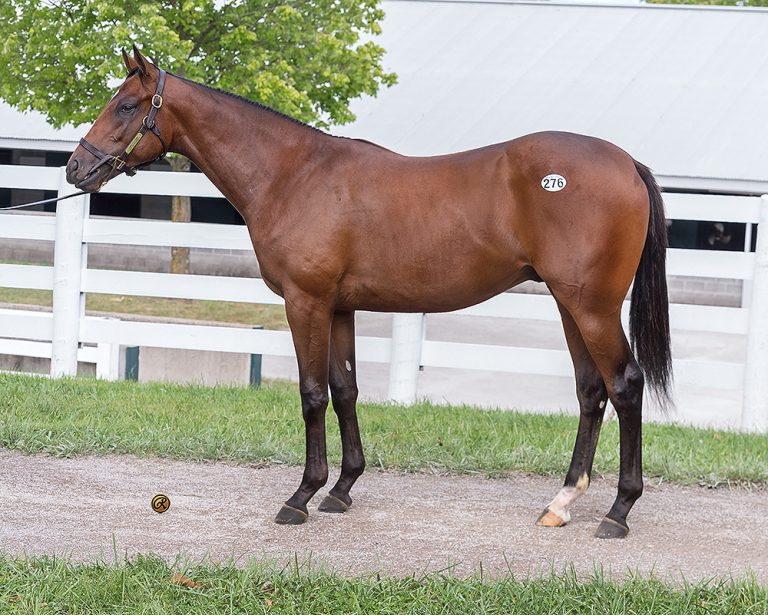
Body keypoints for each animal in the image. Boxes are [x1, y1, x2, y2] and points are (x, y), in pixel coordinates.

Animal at [66, 47, 672, 539]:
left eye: (126, 106)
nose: (76, 168)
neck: (293, 173)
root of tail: (626, 163)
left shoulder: (305, 302)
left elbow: (312, 394)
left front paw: (301, 496)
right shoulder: (340, 308)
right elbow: (345, 390)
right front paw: (341, 489)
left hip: (591, 308)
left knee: (625, 385)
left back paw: (619, 512)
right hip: (571, 306)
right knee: (591, 391)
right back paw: (561, 503)